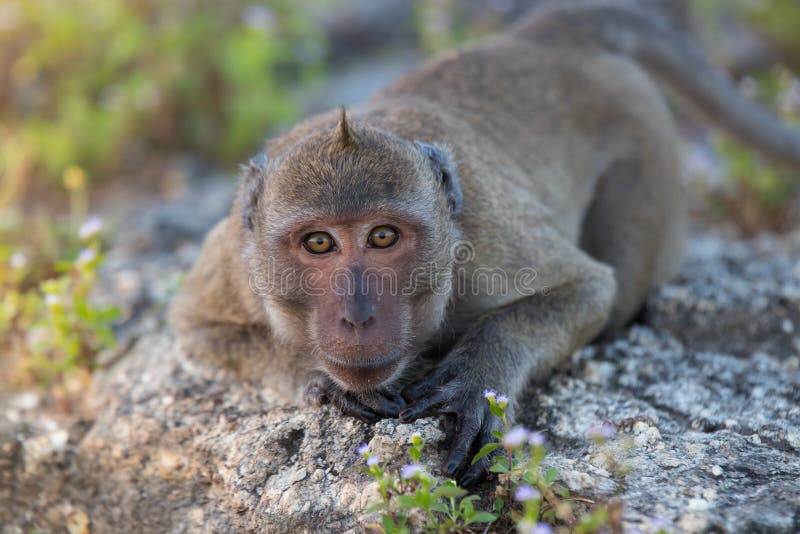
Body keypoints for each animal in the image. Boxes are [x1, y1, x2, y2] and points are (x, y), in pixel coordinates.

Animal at [170, 0, 800, 486]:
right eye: (319, 243)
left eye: (382, 236)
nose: (357, 315)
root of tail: (542, 39)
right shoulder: (237, 258)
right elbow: (194, 326)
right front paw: (321, 379)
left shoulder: (486, 243)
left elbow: (589, 288)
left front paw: (476, 378)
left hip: (643, 144)